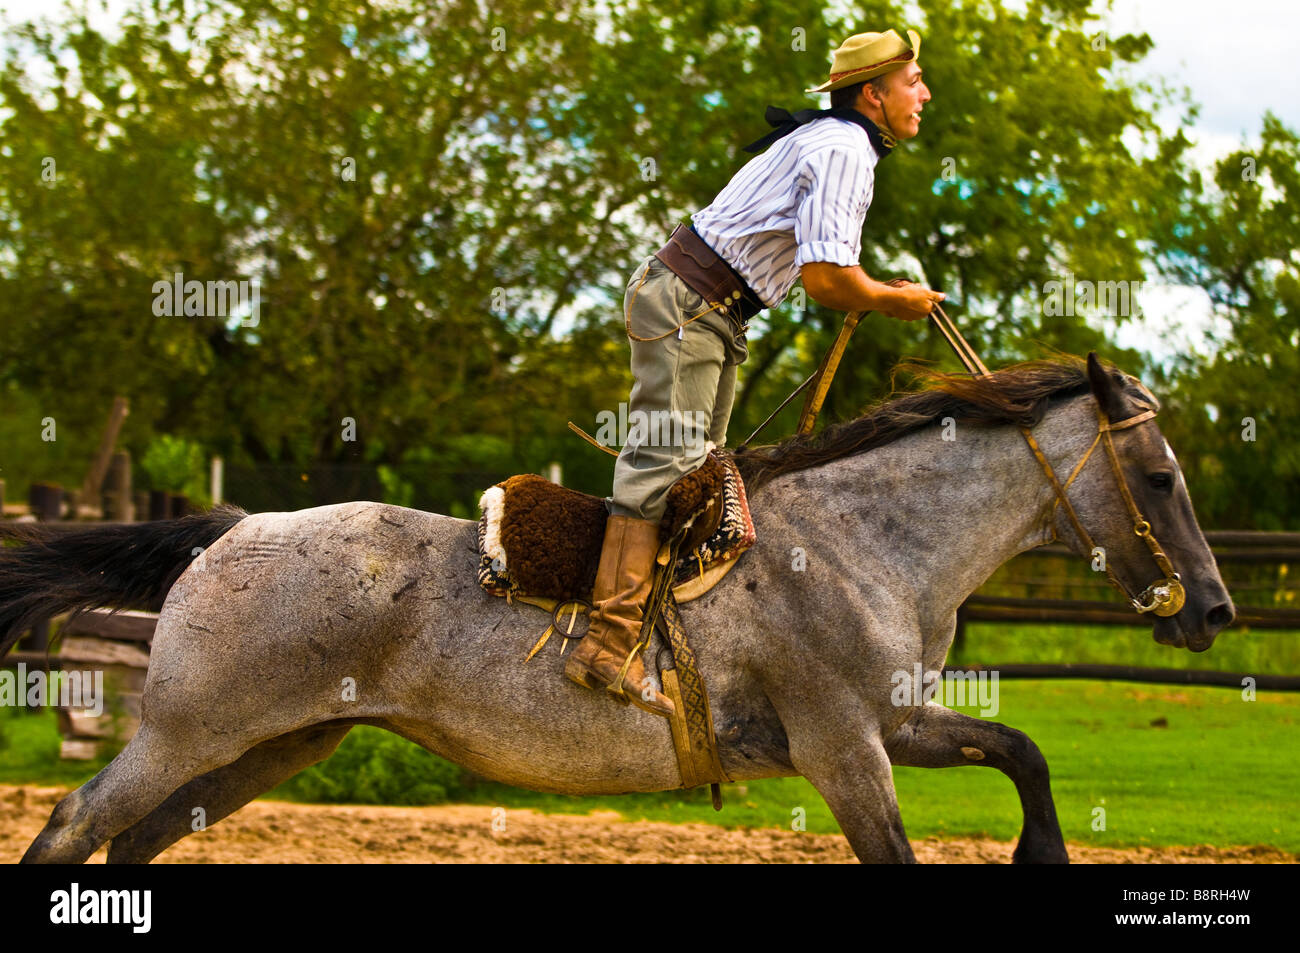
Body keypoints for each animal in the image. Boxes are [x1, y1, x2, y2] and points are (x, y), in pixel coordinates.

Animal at [1, 352, 1234, 863]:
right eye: (1162, 476)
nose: (1215, 608)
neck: (861, 543)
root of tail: (232, 527)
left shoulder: (897, 725)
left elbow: (1022, 750)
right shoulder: (846, 748)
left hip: (276, 743)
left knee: (131, 839)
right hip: (188, 732)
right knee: (73, 824)